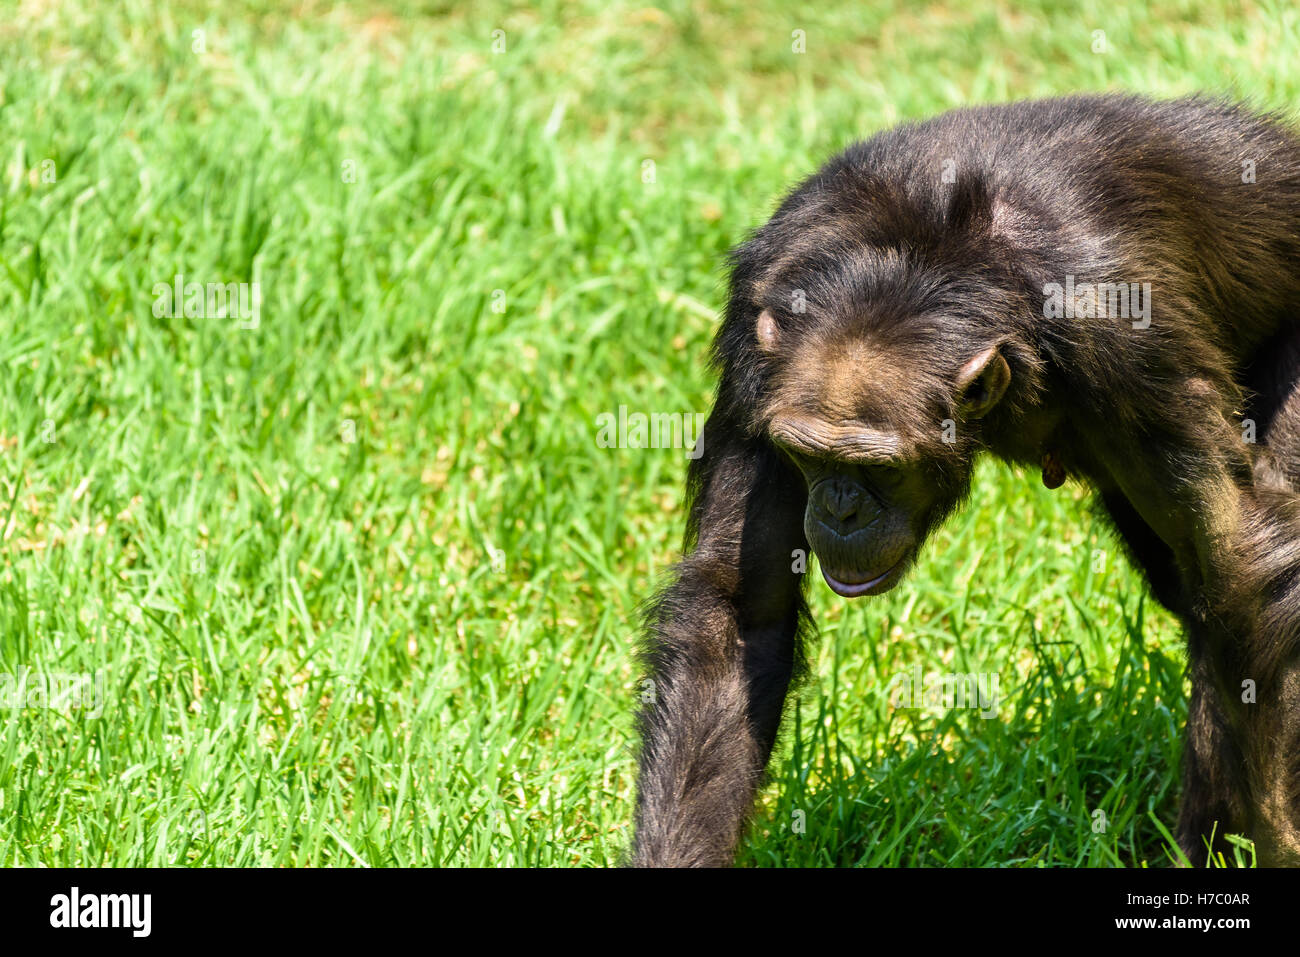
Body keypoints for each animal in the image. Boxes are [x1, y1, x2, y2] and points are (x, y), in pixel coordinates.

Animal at [631, 94, 1300, 868]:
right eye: (807, 457)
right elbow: (740, 609)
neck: (930, 252)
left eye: (877, 468)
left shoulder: (1129, 341)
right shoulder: (754, 338)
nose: (839, 509)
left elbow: (1242, 570)